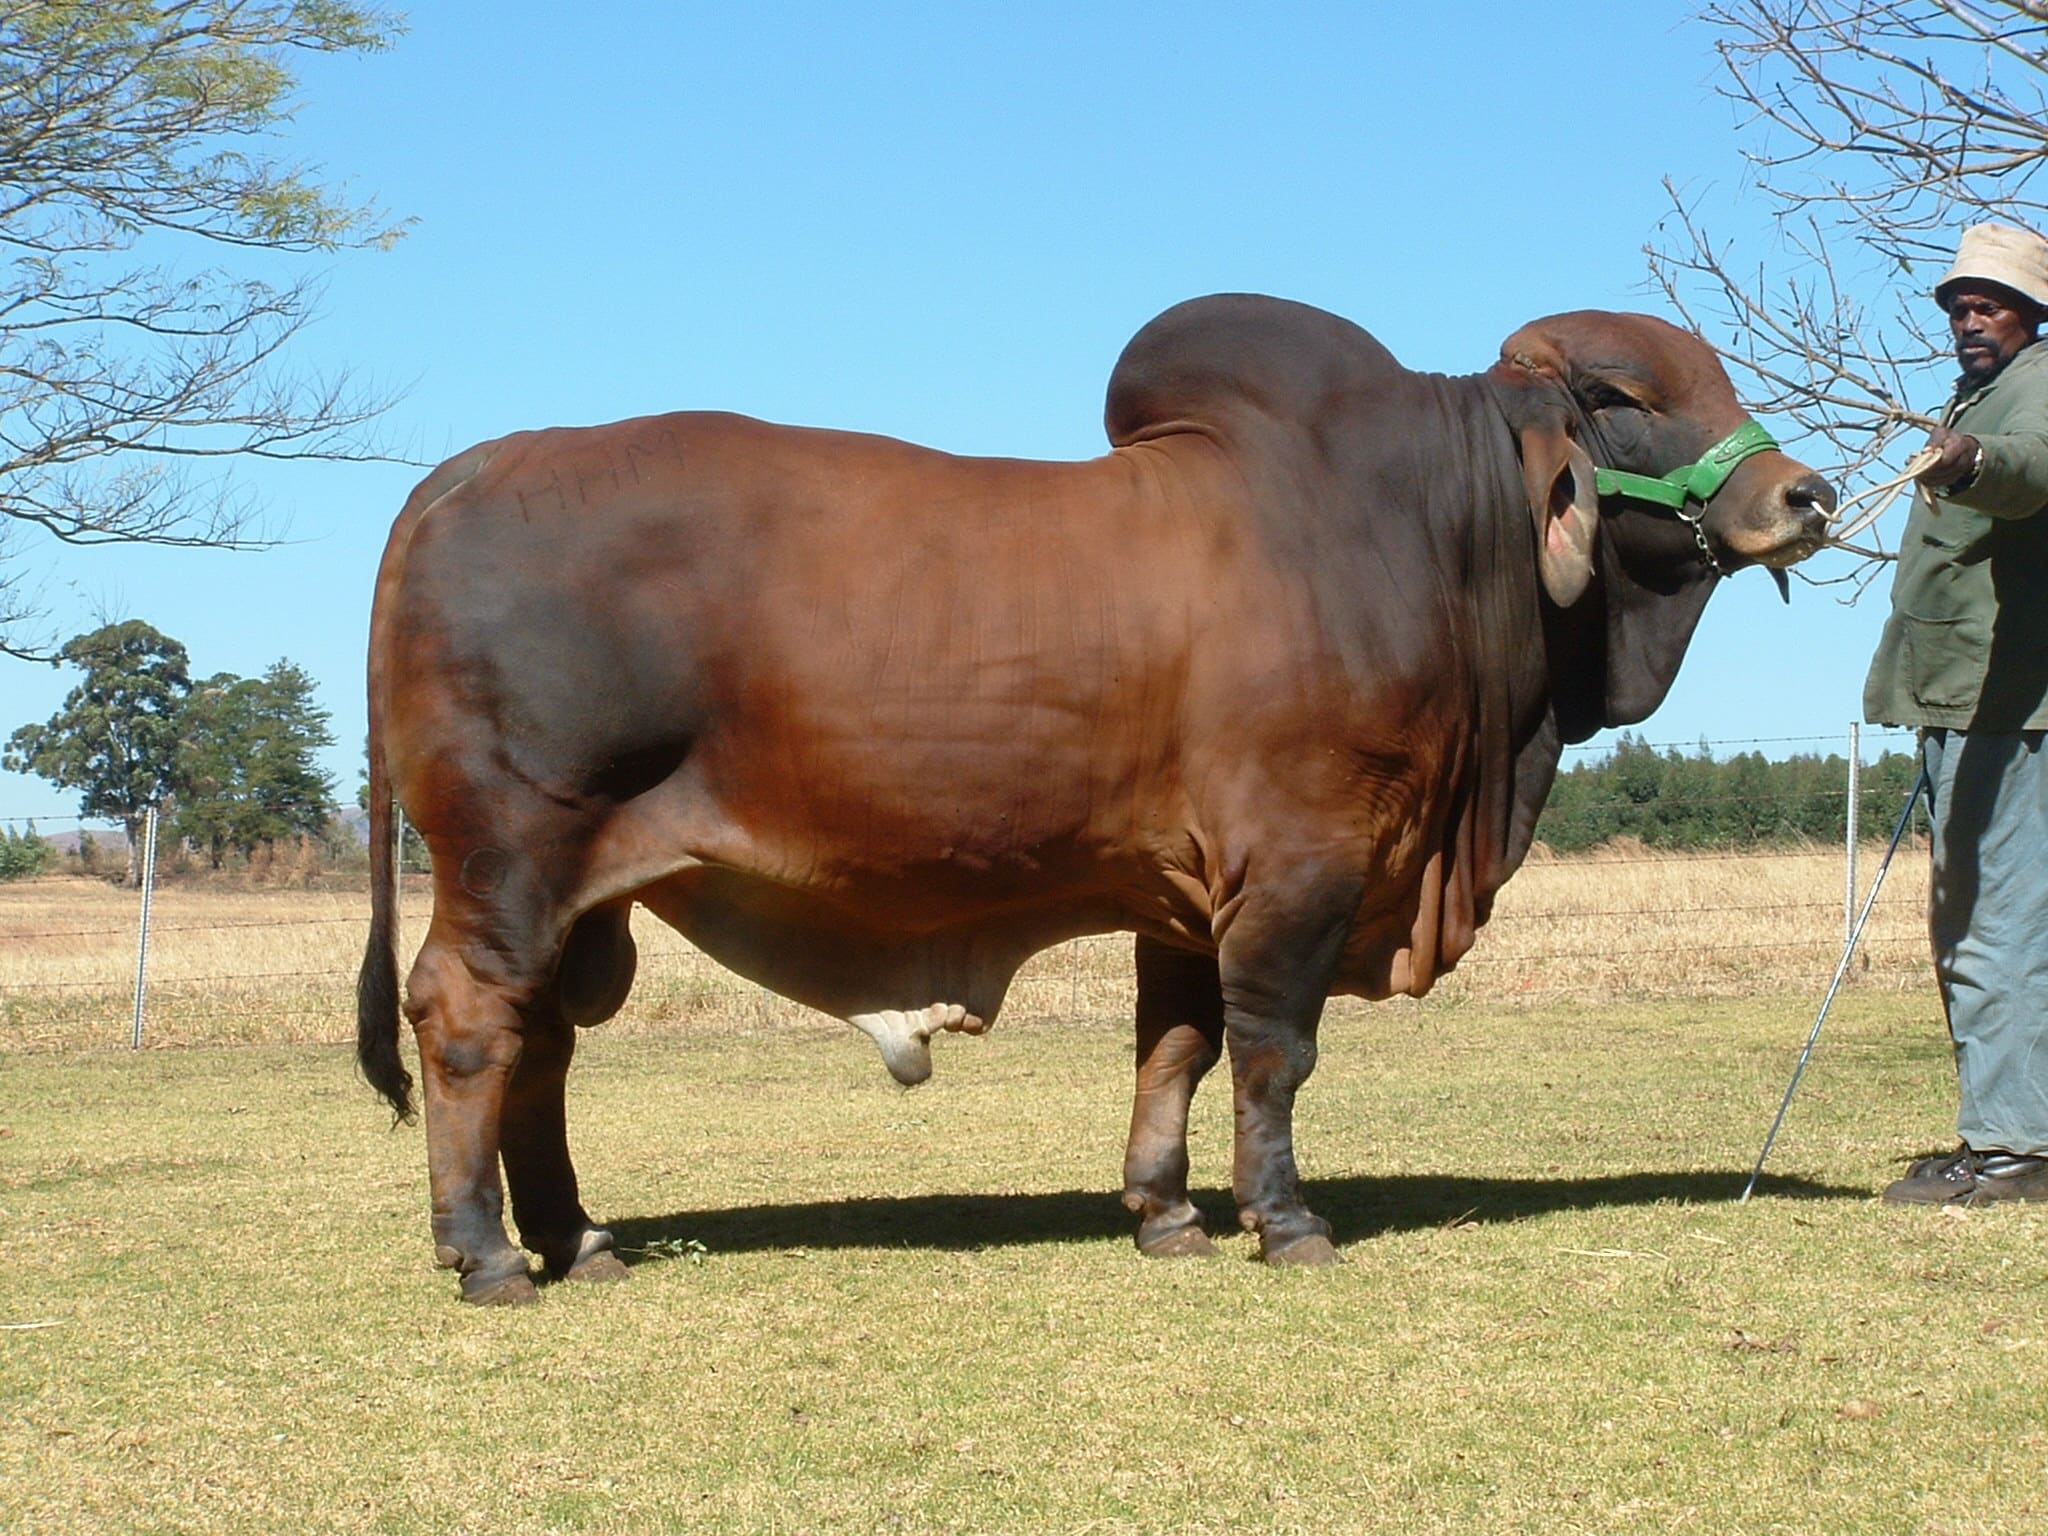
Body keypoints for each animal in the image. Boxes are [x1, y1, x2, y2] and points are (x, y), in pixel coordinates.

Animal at [357, 294, 1833, 1304]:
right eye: (1619, 391)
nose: (1804, 492)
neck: (1424, 531)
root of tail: (461, 474)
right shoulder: (1300, 864)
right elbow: (1272, 1050)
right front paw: (1285, 1222)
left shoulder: (1182, 894)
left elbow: (1173, 1049)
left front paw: (1166, 1213)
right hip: (512, 854)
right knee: (472, 1022)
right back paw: (488, 1253)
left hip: (577, 895)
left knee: (543, 1045)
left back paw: (576, 1239)